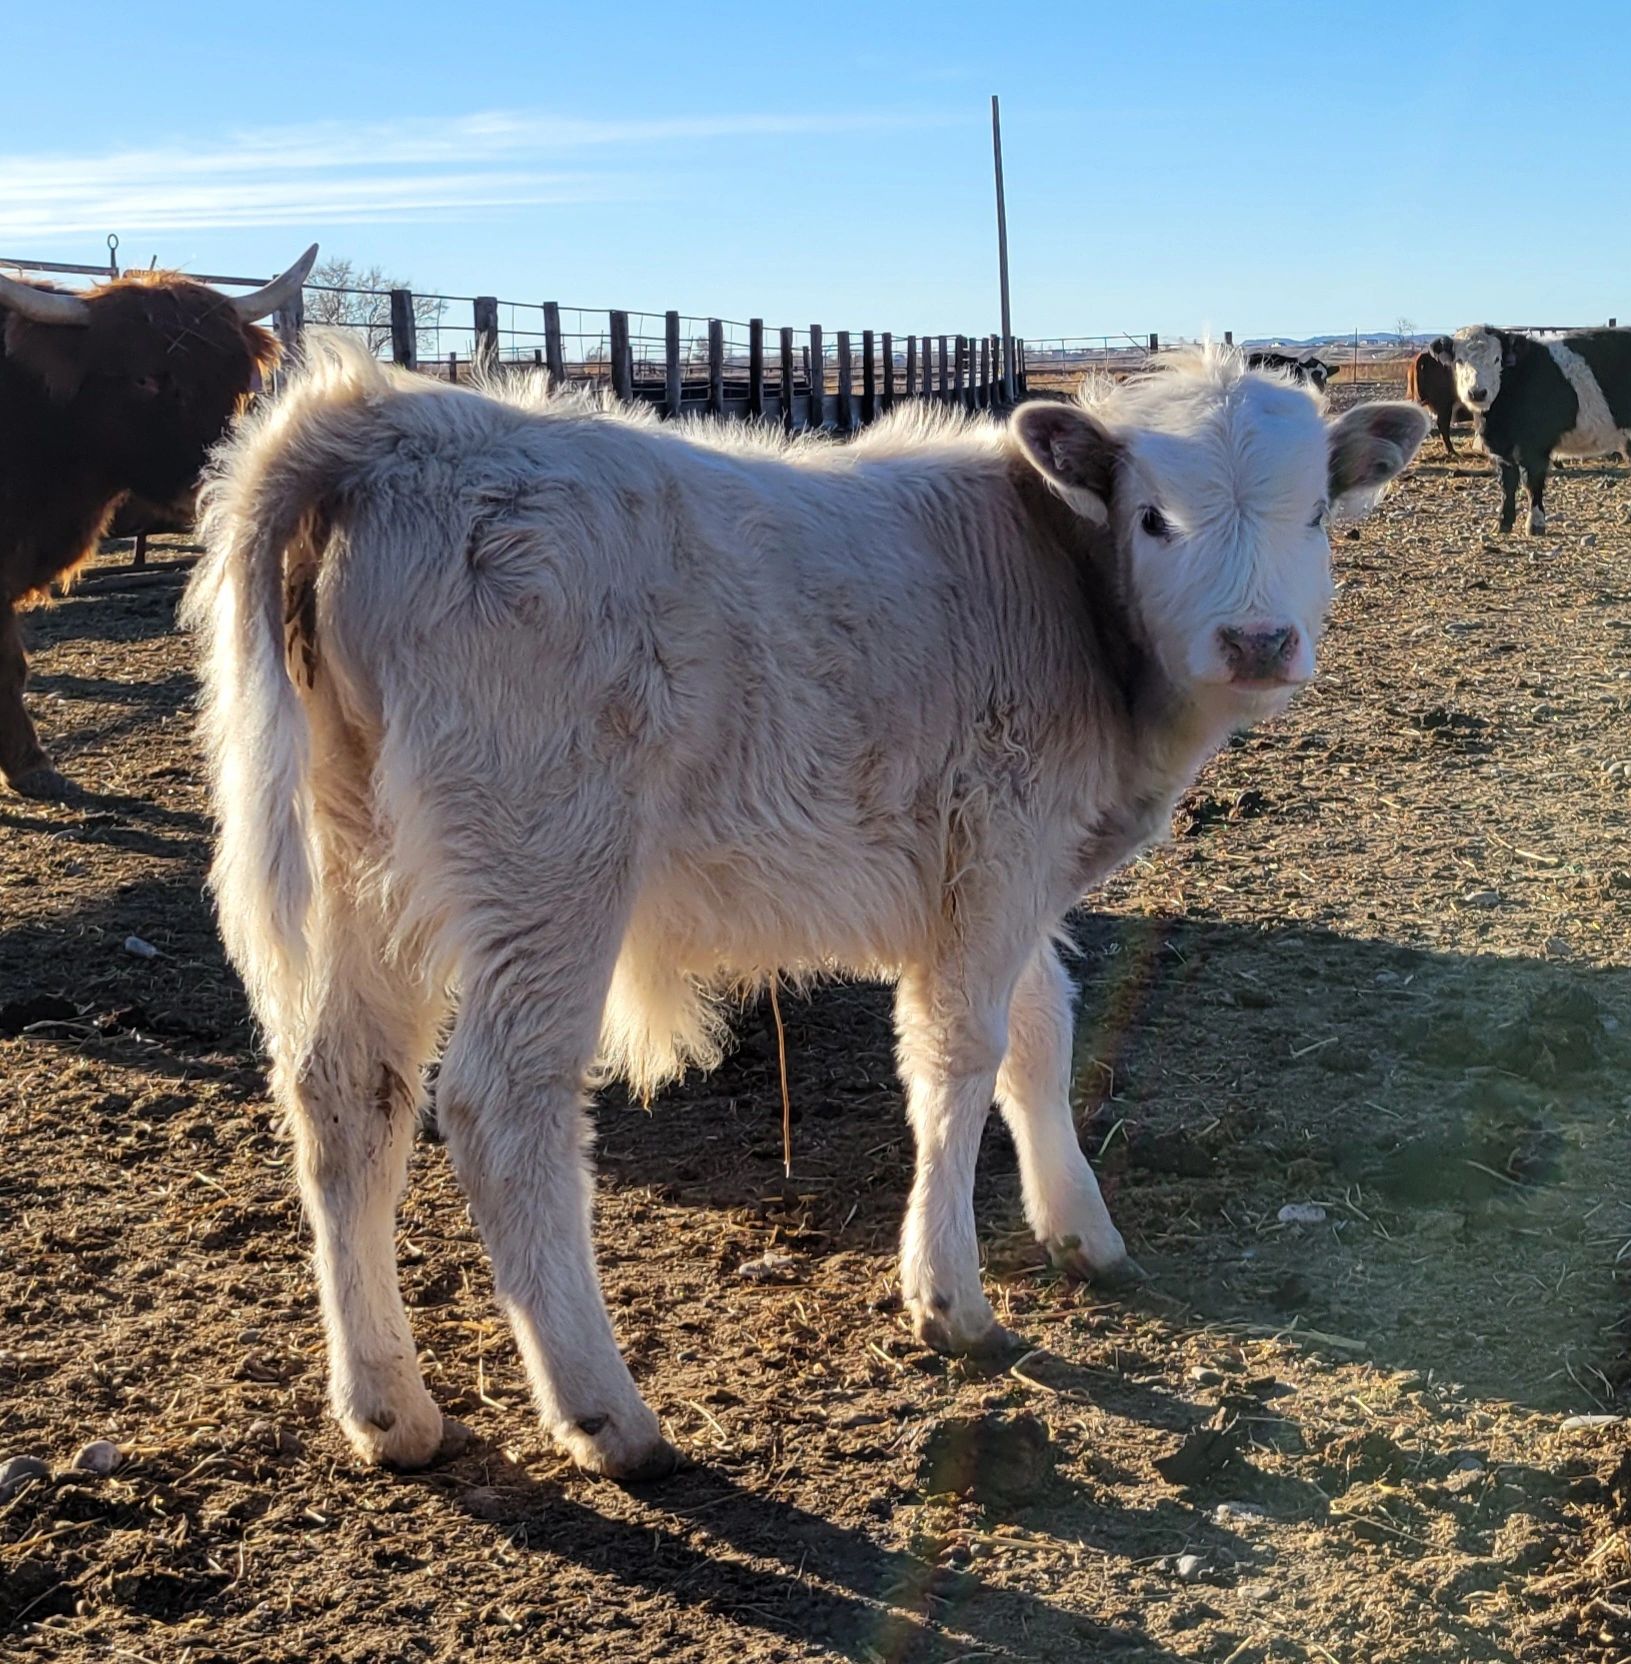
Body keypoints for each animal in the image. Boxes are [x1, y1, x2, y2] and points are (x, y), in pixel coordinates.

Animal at [185, 337, 1427, 1481]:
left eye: (1315, 511)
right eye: (1154, 517)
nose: (1256, 640)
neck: (1057, 588)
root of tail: (388, 420)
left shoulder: (1005, 876)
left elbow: (1040, 1034)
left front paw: (1082, 1229)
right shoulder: (1000, 838)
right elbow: (957, 1055)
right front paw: (949, 1297)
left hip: (364, 863)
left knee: (348, 1092)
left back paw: (388, 1406)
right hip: (544, 859)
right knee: (501, 1105)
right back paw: (606, 1413)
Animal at [1430, 325, 1631, 532]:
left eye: (1497, 359)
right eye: (1459, 360)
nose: (1477, 393)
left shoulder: (1535, 446)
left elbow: (1532, 481)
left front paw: (1535, 524)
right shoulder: (1500, 448)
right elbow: (1507, 482)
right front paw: (1503, 522)